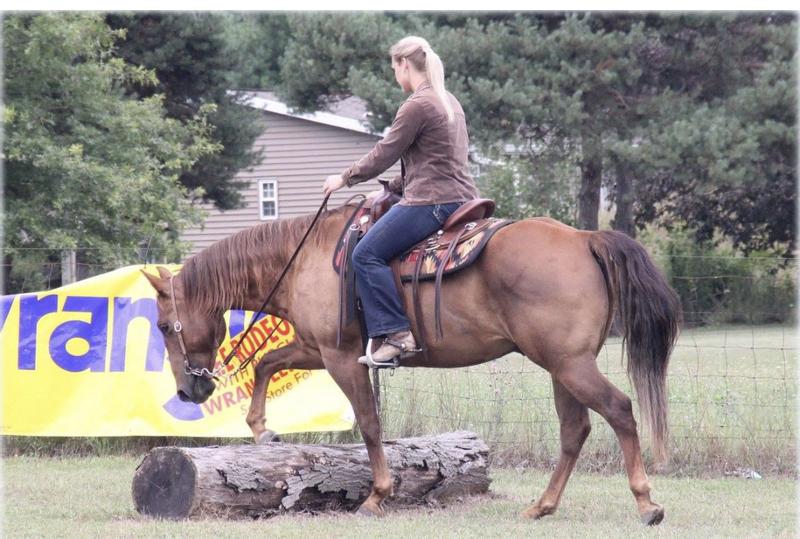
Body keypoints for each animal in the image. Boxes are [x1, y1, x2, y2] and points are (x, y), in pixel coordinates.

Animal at [141, 200, 681, 525]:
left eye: (165, 325)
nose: (189, 391)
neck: (304, 258)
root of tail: (584, 238)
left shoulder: (342, 358)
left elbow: (369, 423)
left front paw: (377, 495)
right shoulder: (318, 349)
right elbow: (267, 364)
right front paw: (261, 429)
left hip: (570, 364)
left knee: (620, 410)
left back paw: (646, 501)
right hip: (563, 367)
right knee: (575, 430)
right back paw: (542, 506)